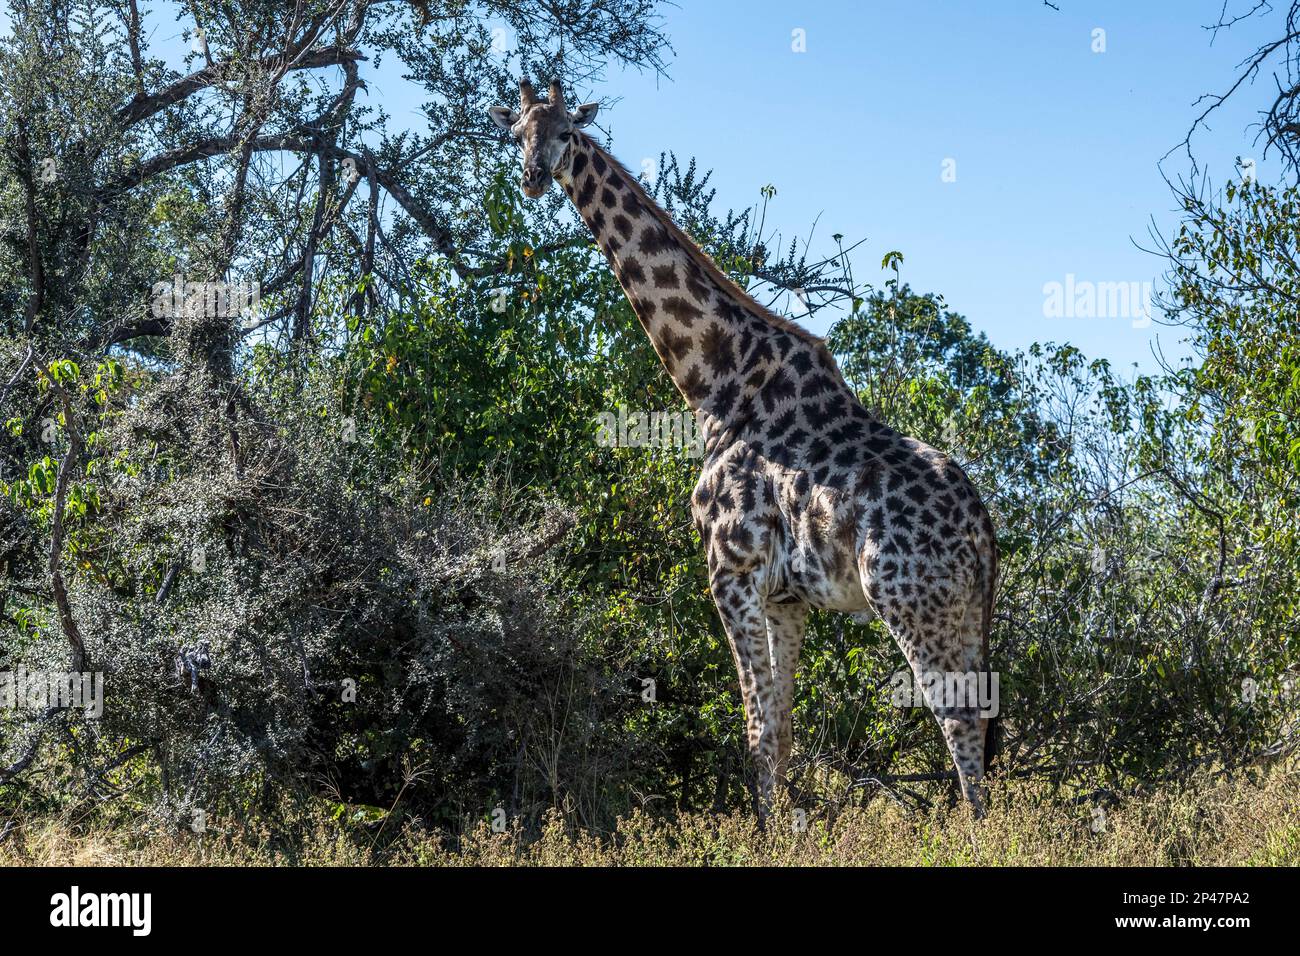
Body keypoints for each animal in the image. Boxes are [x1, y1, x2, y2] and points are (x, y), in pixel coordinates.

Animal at [489, 80, 999, 817]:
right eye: (518, 133)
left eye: (564, 133)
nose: (532, 177)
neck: (713, 381)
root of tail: (983, 528)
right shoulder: (787, 595)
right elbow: (780, 731)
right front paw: (784, 828)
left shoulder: (729, 569)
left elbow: (755, 729)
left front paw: (763, 831)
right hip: (961, 608)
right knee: (979, 716)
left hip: (909, 598)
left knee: (956, 718)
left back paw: (978, 834)